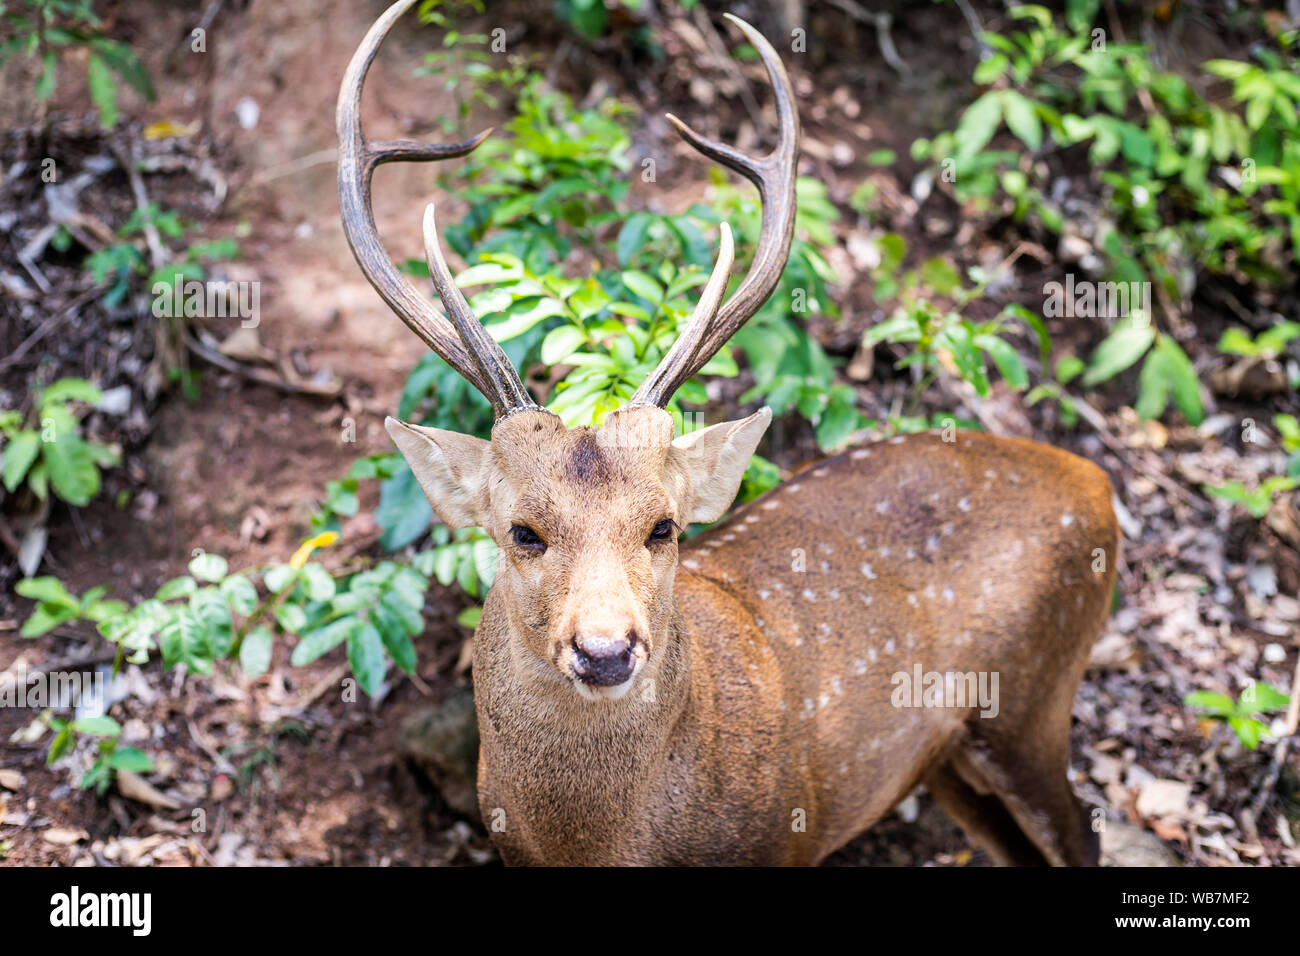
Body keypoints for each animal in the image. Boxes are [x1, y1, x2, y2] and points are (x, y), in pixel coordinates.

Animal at [337, 0, 1119, 866]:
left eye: (664, 527)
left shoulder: (782, 838)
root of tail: (1096, 483)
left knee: (1083, 828)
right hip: (950, 758)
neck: (600, 846)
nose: (606, 650)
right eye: (523, 532)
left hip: (1033, 697)